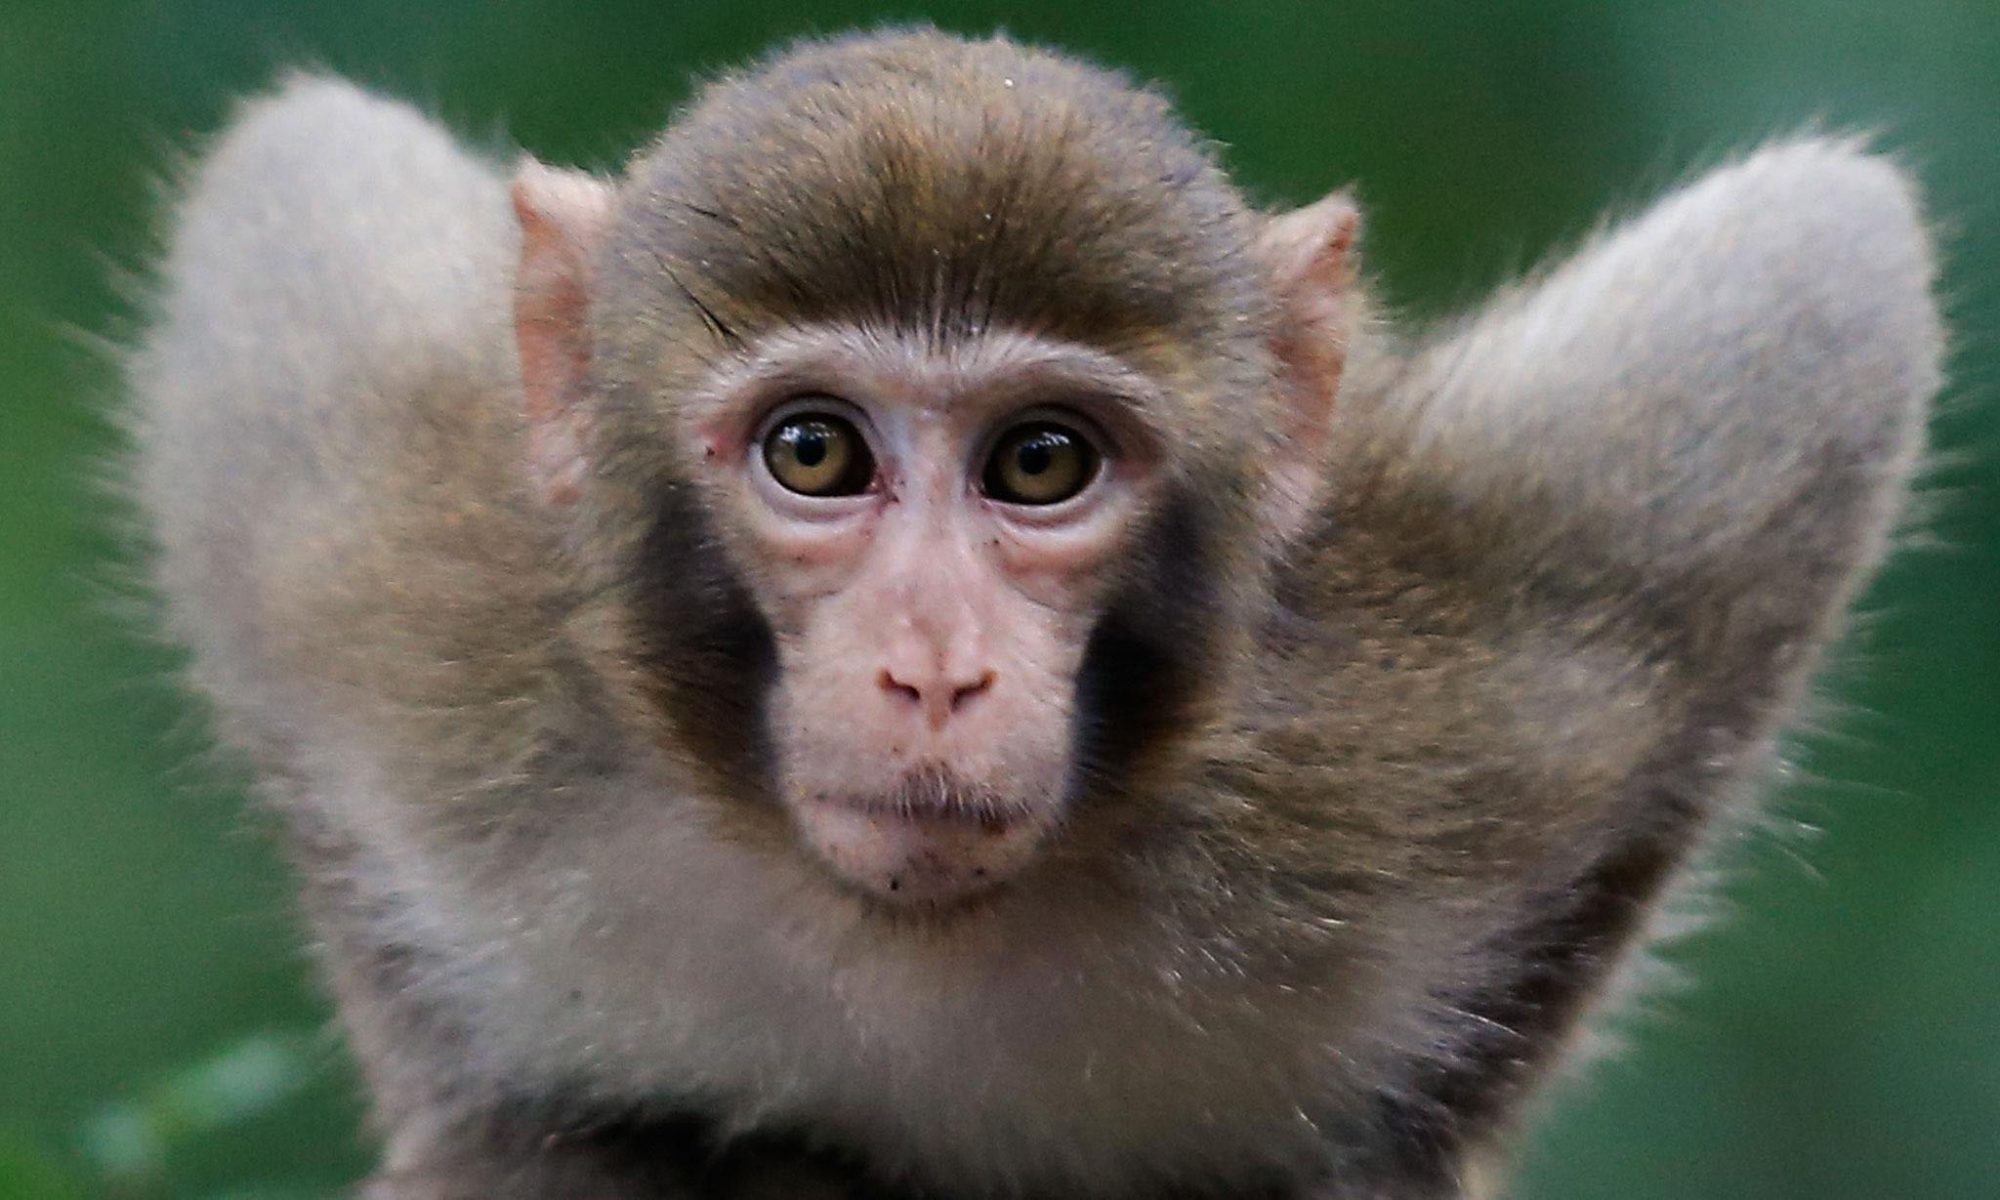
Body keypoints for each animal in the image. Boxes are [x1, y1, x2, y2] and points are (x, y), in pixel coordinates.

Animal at [124, 27, 1942, 1200]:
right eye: (814, 452)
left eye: (1042, 463)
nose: (934, 673)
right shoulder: (380, 577)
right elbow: (285, 178)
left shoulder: (1534, 656)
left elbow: (1833, 263)